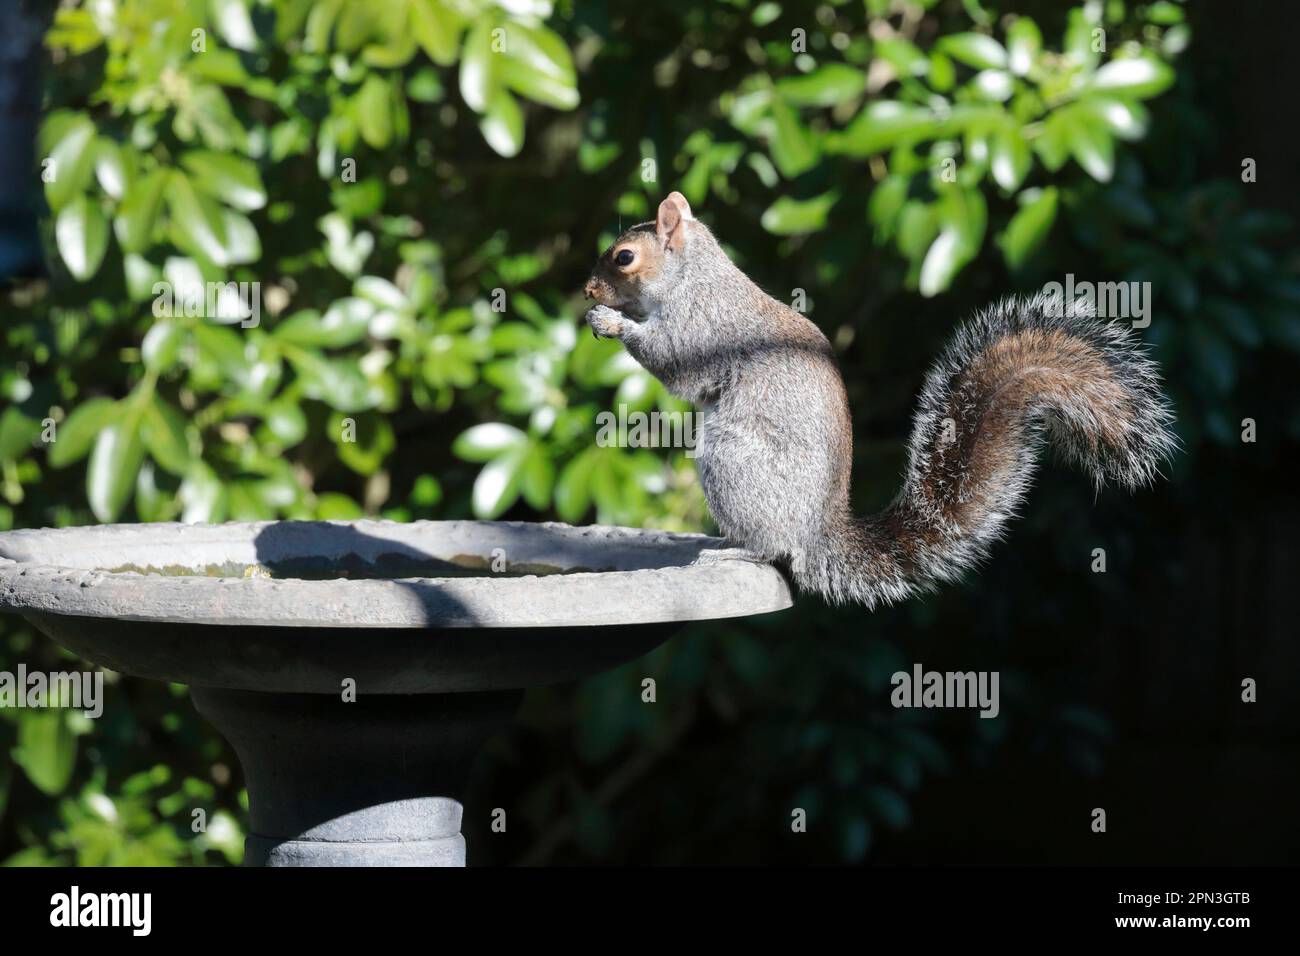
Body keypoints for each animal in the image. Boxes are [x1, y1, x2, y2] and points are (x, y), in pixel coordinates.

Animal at [583, 191, 1176, 608]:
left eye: (624, 257)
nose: (587, 291)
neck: (693, 276)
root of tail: (817, 531)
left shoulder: (705, 327)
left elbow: (674, 362)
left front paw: (612, 322)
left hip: (731, 464)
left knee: (774, 548)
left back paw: (733, 549)